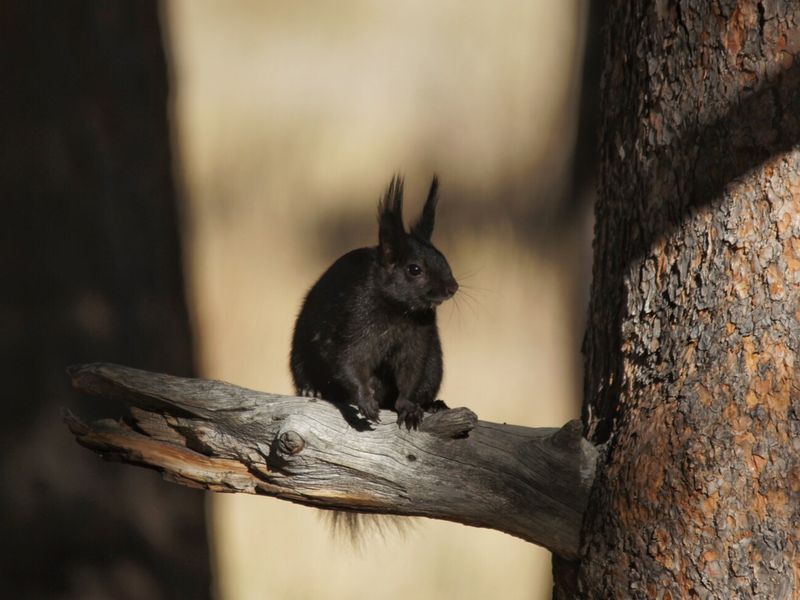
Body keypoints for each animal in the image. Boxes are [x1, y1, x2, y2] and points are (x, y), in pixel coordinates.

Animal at [290, 175, 458, 429]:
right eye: (414, 269)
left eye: (442, 257)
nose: (453, 287)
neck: (400, 310)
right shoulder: (355, 320)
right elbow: (349, 361)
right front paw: (366, 400)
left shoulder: (418, 340)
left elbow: (411, 373)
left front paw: (409, 408)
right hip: (300, 354)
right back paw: (312, 390)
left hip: (434, 366)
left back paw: (433, 405)